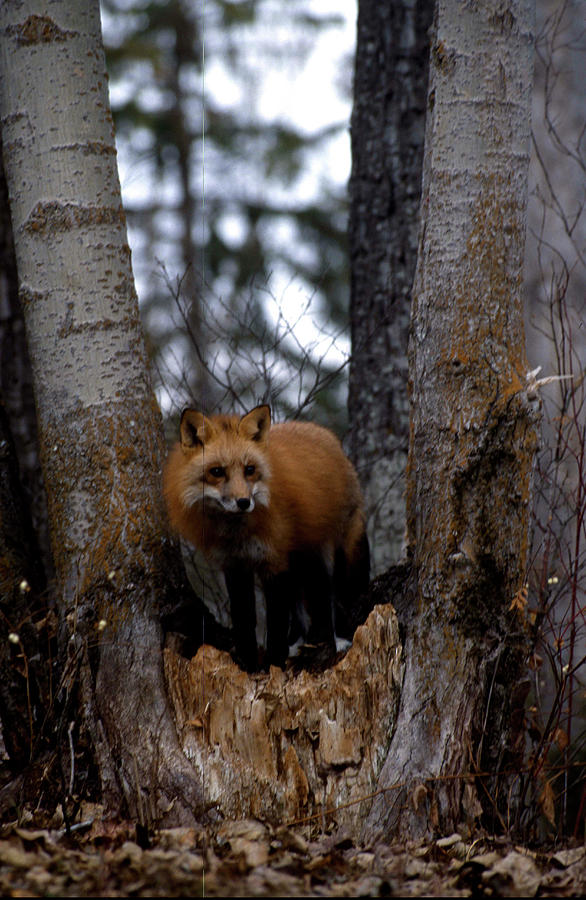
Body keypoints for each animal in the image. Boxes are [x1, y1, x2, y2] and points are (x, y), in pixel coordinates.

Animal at [163, 404, 370, 671]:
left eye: (249, 470)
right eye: (216, 472)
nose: (243, 502)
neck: (237, 533)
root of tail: (322, 432)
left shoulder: (275, 562)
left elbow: (276, 622)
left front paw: (275, 661)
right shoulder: (235, 566)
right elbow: (244, 619)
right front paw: (249, 662)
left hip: (340, 551)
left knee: (338, 597)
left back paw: (336, 640)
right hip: (303, 559)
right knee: (315, 600)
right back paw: (311, 642)